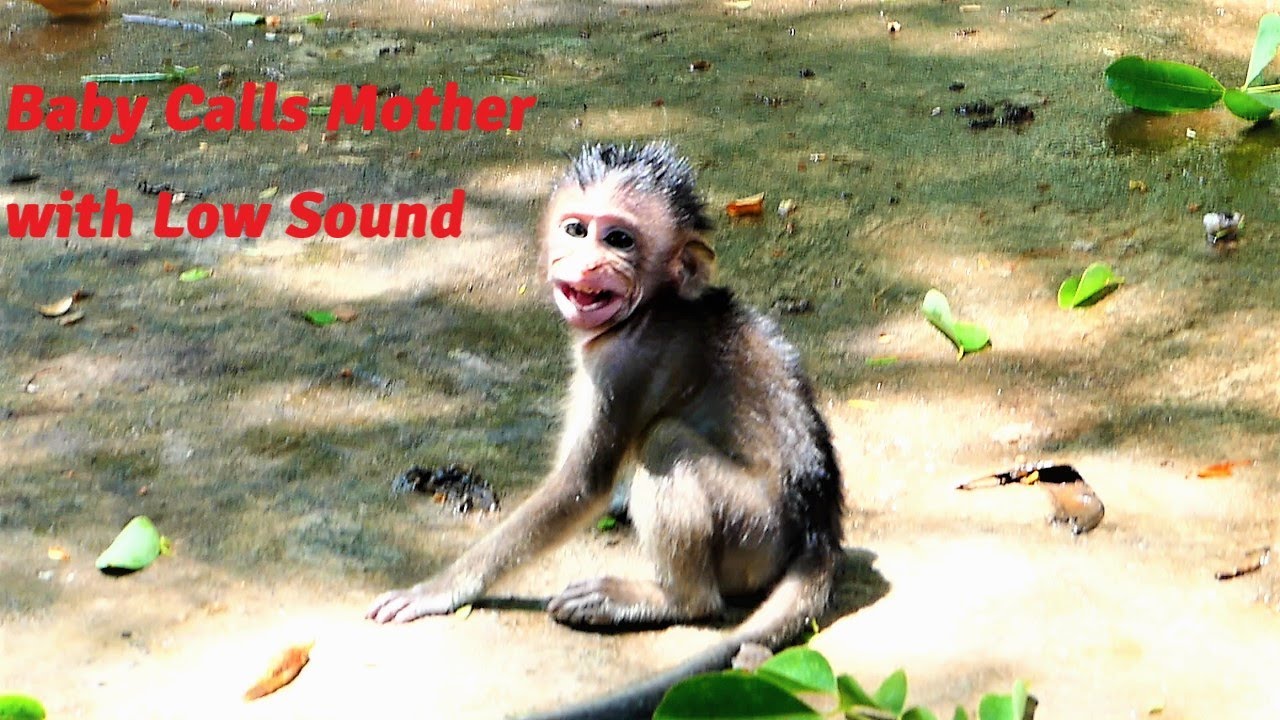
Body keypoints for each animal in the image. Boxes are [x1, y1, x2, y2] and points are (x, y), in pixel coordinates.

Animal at [366, 142, 844, 719]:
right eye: (577, 229)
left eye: (619, 240)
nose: (588, 260)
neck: (653, 305)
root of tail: (821, 532)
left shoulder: (624, 362)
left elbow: (582, 484)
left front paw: (437, 590)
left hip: (756, 538)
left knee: (666, 445)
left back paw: (668, 599)